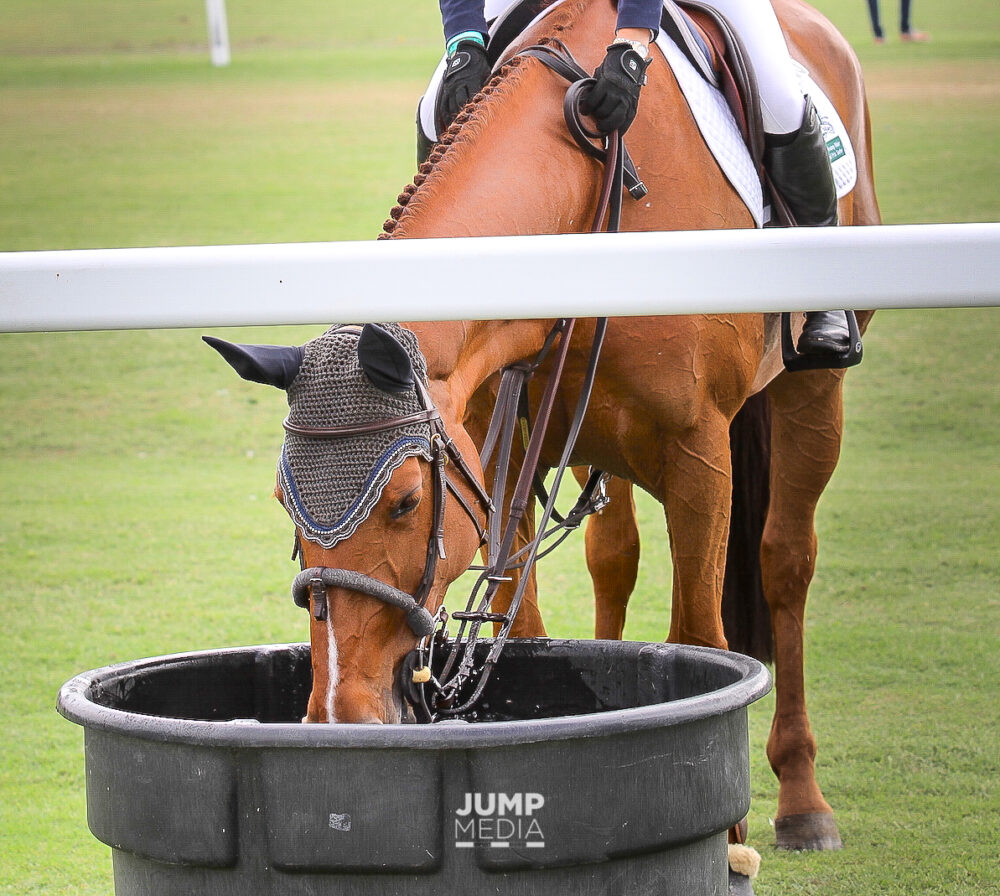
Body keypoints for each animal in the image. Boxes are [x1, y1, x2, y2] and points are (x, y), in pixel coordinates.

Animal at [207, 0, 879, 854]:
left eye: (403, 503)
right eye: (284, 505)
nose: (339, 714)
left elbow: (702, 634)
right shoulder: (502, 450)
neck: (580, 195)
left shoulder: (698, 452)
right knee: (613, 557)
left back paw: (802, 801)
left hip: (809, 393)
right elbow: (526, 631)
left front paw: (728, 841)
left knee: (785, 563)